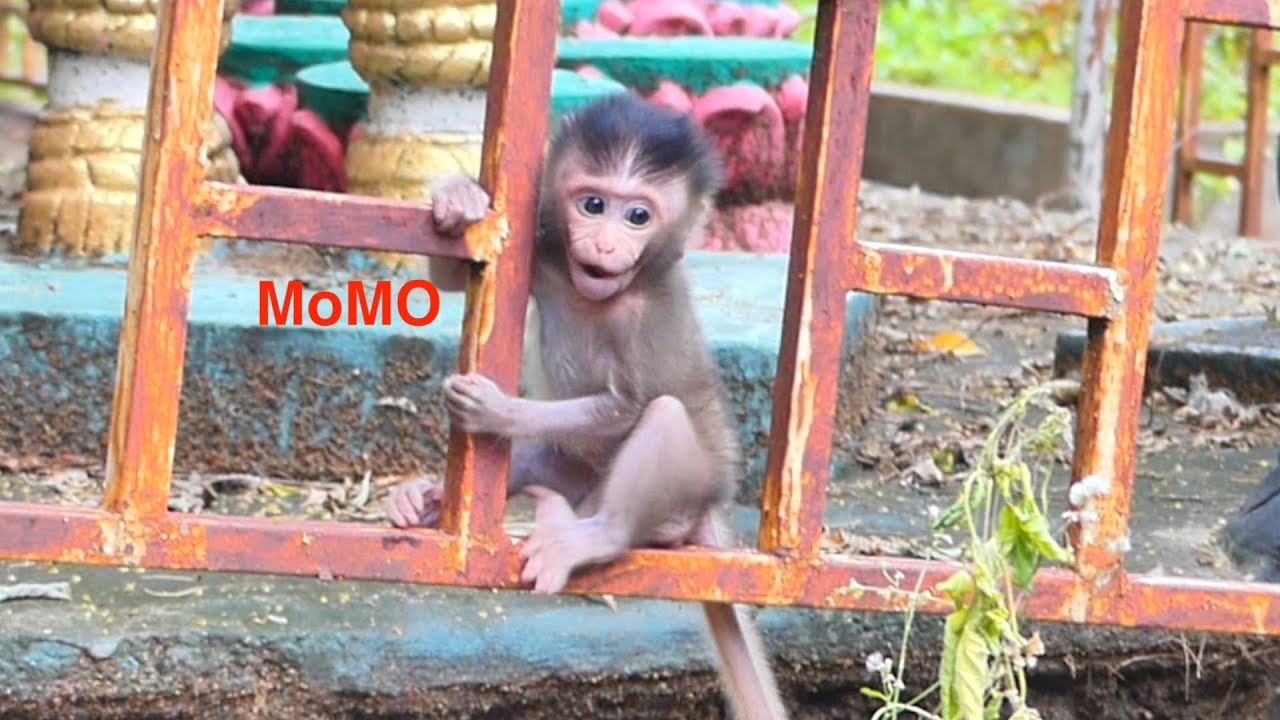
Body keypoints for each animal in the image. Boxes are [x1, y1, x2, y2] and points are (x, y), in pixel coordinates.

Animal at [387, 92, 788, 720]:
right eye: (593, 204)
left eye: (638, 217)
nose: (604, 245)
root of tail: (705, 509)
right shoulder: (544, 250)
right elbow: (459, 275)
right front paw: (458, 196)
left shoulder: (644, 318)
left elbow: (627, 407)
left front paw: (498, 410)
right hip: (577, 476)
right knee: (536, 463)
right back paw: (424, 504)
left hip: (683, 490)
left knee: (663, 417)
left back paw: (594, 536)